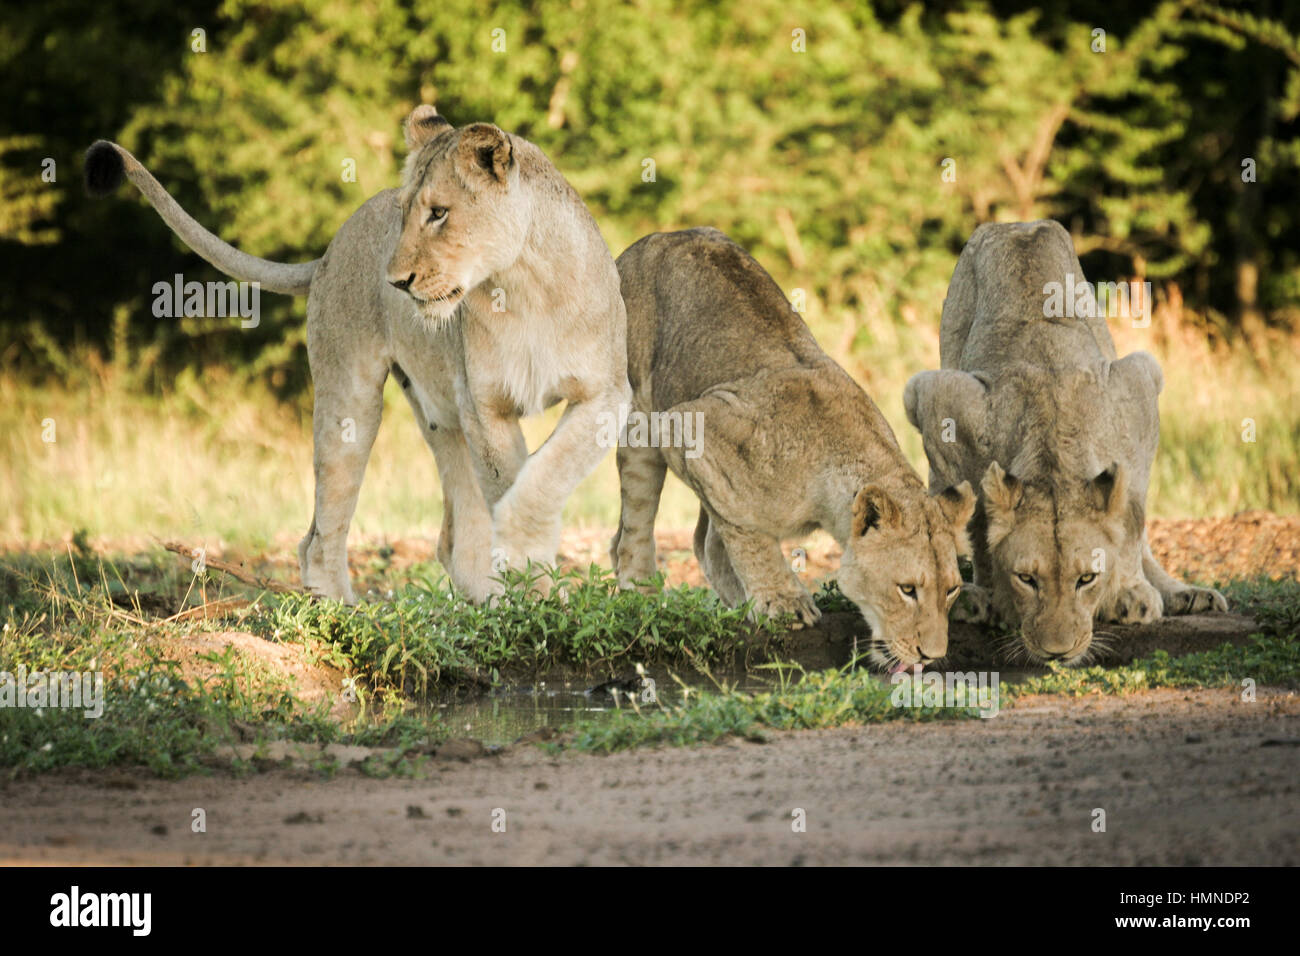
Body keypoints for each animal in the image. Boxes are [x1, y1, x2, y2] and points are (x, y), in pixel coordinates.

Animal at [86, 105, 630, 603]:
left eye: (439, 213)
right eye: (405, 213)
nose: (397, 282)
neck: (523, 286)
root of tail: (330, 247)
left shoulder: (606, 395)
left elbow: (543, 477)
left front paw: (527, 582)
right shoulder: (486, 406)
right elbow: (513, 483)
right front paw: (530, 586)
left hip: (443, 415)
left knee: (452, 534)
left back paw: (479, 604)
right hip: (353, 401)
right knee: (318, 534)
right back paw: (343, 612)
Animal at [611, 229, 975, 671]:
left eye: (952, 590)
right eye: (907, 589)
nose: (932, 655)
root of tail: (655, 237)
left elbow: (725, 539)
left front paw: (753, 601)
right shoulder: (688, 425)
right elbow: (748, 535)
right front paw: (784, 603)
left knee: (696, 539)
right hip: (639, 417)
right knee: (633, 529)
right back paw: (641, 595)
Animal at [904, 220, 1227, 664]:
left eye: (1086, 578)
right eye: (1026, 579)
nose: (1057, 652)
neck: (1052, 447)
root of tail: (1016, 225)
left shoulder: (1139, 384)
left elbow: (1133, 516)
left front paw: (1130, 594)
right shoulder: (934, 398)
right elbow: (976, 519)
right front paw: (989, 596)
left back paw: (1184, 594)